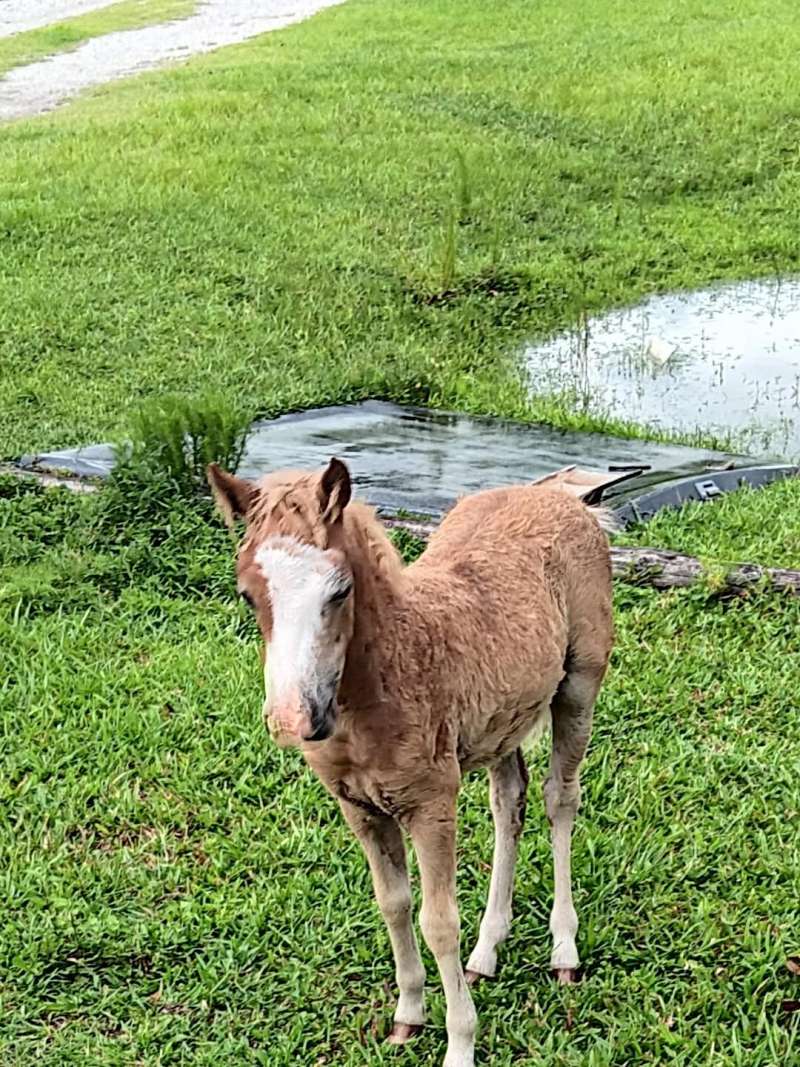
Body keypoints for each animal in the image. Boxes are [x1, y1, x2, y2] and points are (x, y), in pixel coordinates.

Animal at [207, 457, 614, 1067]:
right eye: (247, 595)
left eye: (339, 591)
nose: (291, 719)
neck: (388, 674)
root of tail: (563, 497)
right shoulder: (360, 809)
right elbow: (394, 904)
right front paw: (408, 1014)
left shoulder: (431, 805)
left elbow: (438, 920)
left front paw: (460, 1043)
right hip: (503, 719)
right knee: (508, 802)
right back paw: (488, 949)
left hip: (579, 685)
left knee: (559, 798)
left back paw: (563, 949)